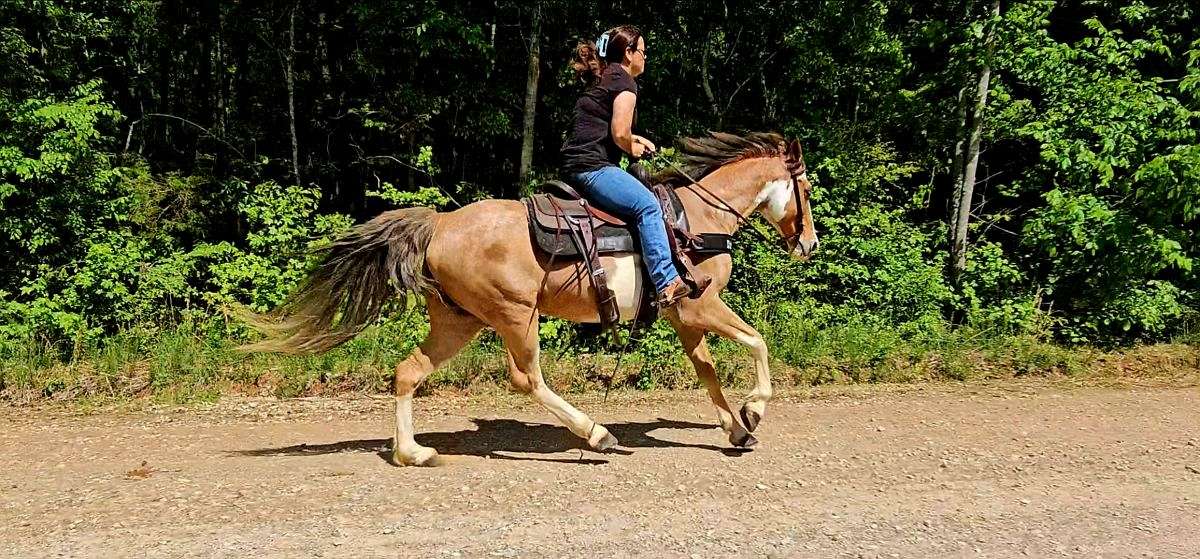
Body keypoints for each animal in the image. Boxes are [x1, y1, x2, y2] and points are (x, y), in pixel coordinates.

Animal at [239, 131, 817, 466]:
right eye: (805, 189)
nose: (809, 244)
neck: (699, 221)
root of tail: (439, 223)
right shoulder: (698, 305)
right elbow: (757, 342)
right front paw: (754, 410)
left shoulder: (683, 317)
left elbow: (707, 372)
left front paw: (736, 429)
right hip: (517, 316)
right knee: (526, 378)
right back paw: (597, 435)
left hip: (459, 322)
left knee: (407, 372)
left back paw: (412, 452)